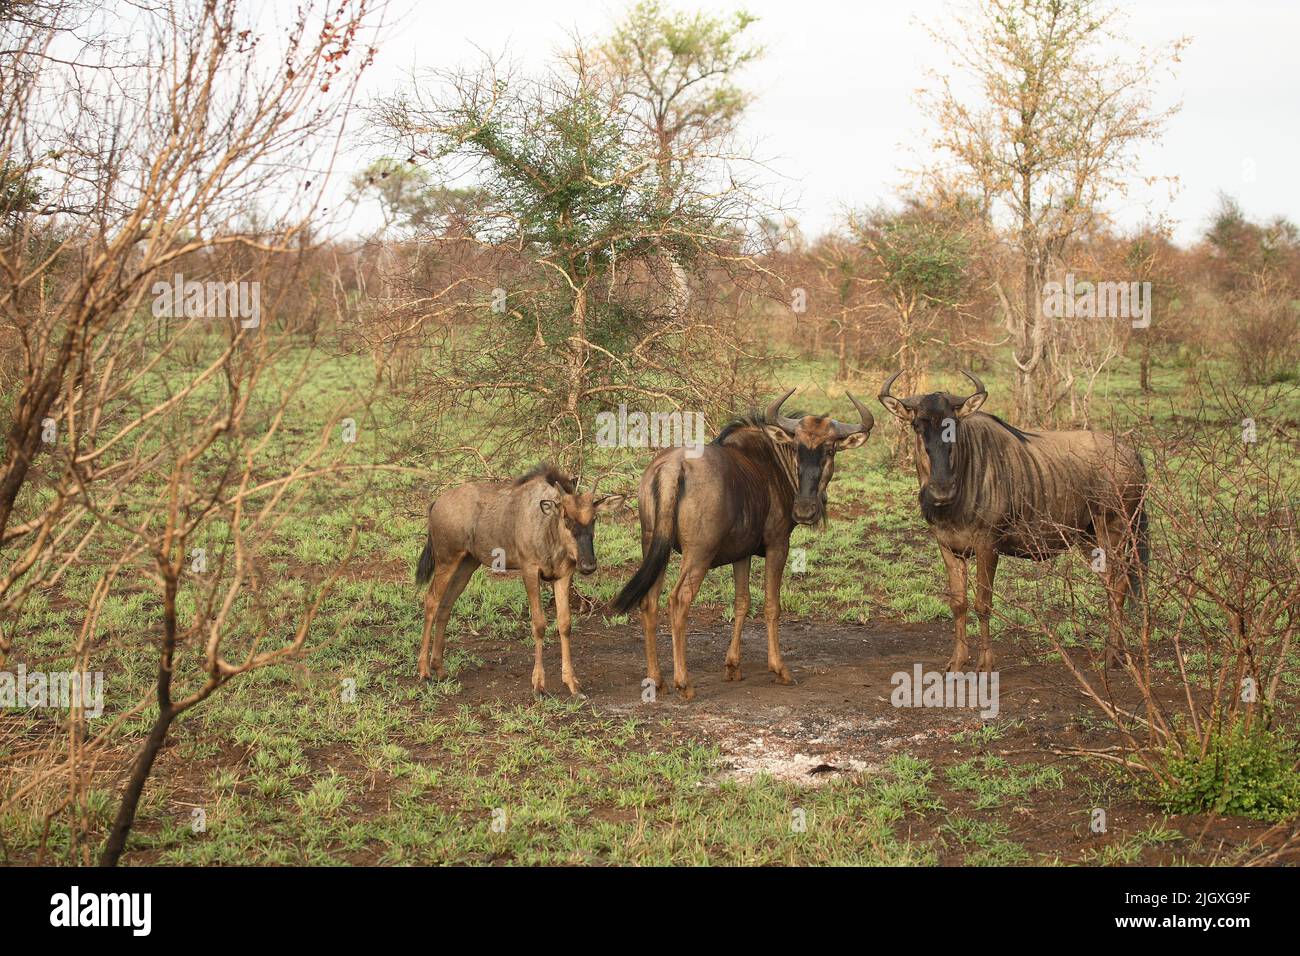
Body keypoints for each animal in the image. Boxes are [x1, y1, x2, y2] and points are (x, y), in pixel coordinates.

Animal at [415, 464, 624, 695]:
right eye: (566, 518)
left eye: (594, 518)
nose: (588, 564)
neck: (547, 529)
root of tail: (436, 503)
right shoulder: (530, 571)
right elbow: (539, 624)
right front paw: (539, 684)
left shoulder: (563, 576)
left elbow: (565, 624)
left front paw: (572, 683)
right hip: (447, 561)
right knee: (431, 600)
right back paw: (424, 672)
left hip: (466, 565)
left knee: (445, 605)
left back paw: (439, 669)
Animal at [611, 390, 874, 699]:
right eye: (797, 448)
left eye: (830, 450)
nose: (804, 510)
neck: (771, 462)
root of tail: (672, 468)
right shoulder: (778, 545)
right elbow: (771, 605)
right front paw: (779, 668)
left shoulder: (741, 553)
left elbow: (742, 602)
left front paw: (733, 666)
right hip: (698, 554)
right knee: (678, 600)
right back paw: (684, 683)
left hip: (653, 546)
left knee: (649, 601)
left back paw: (656, 680)